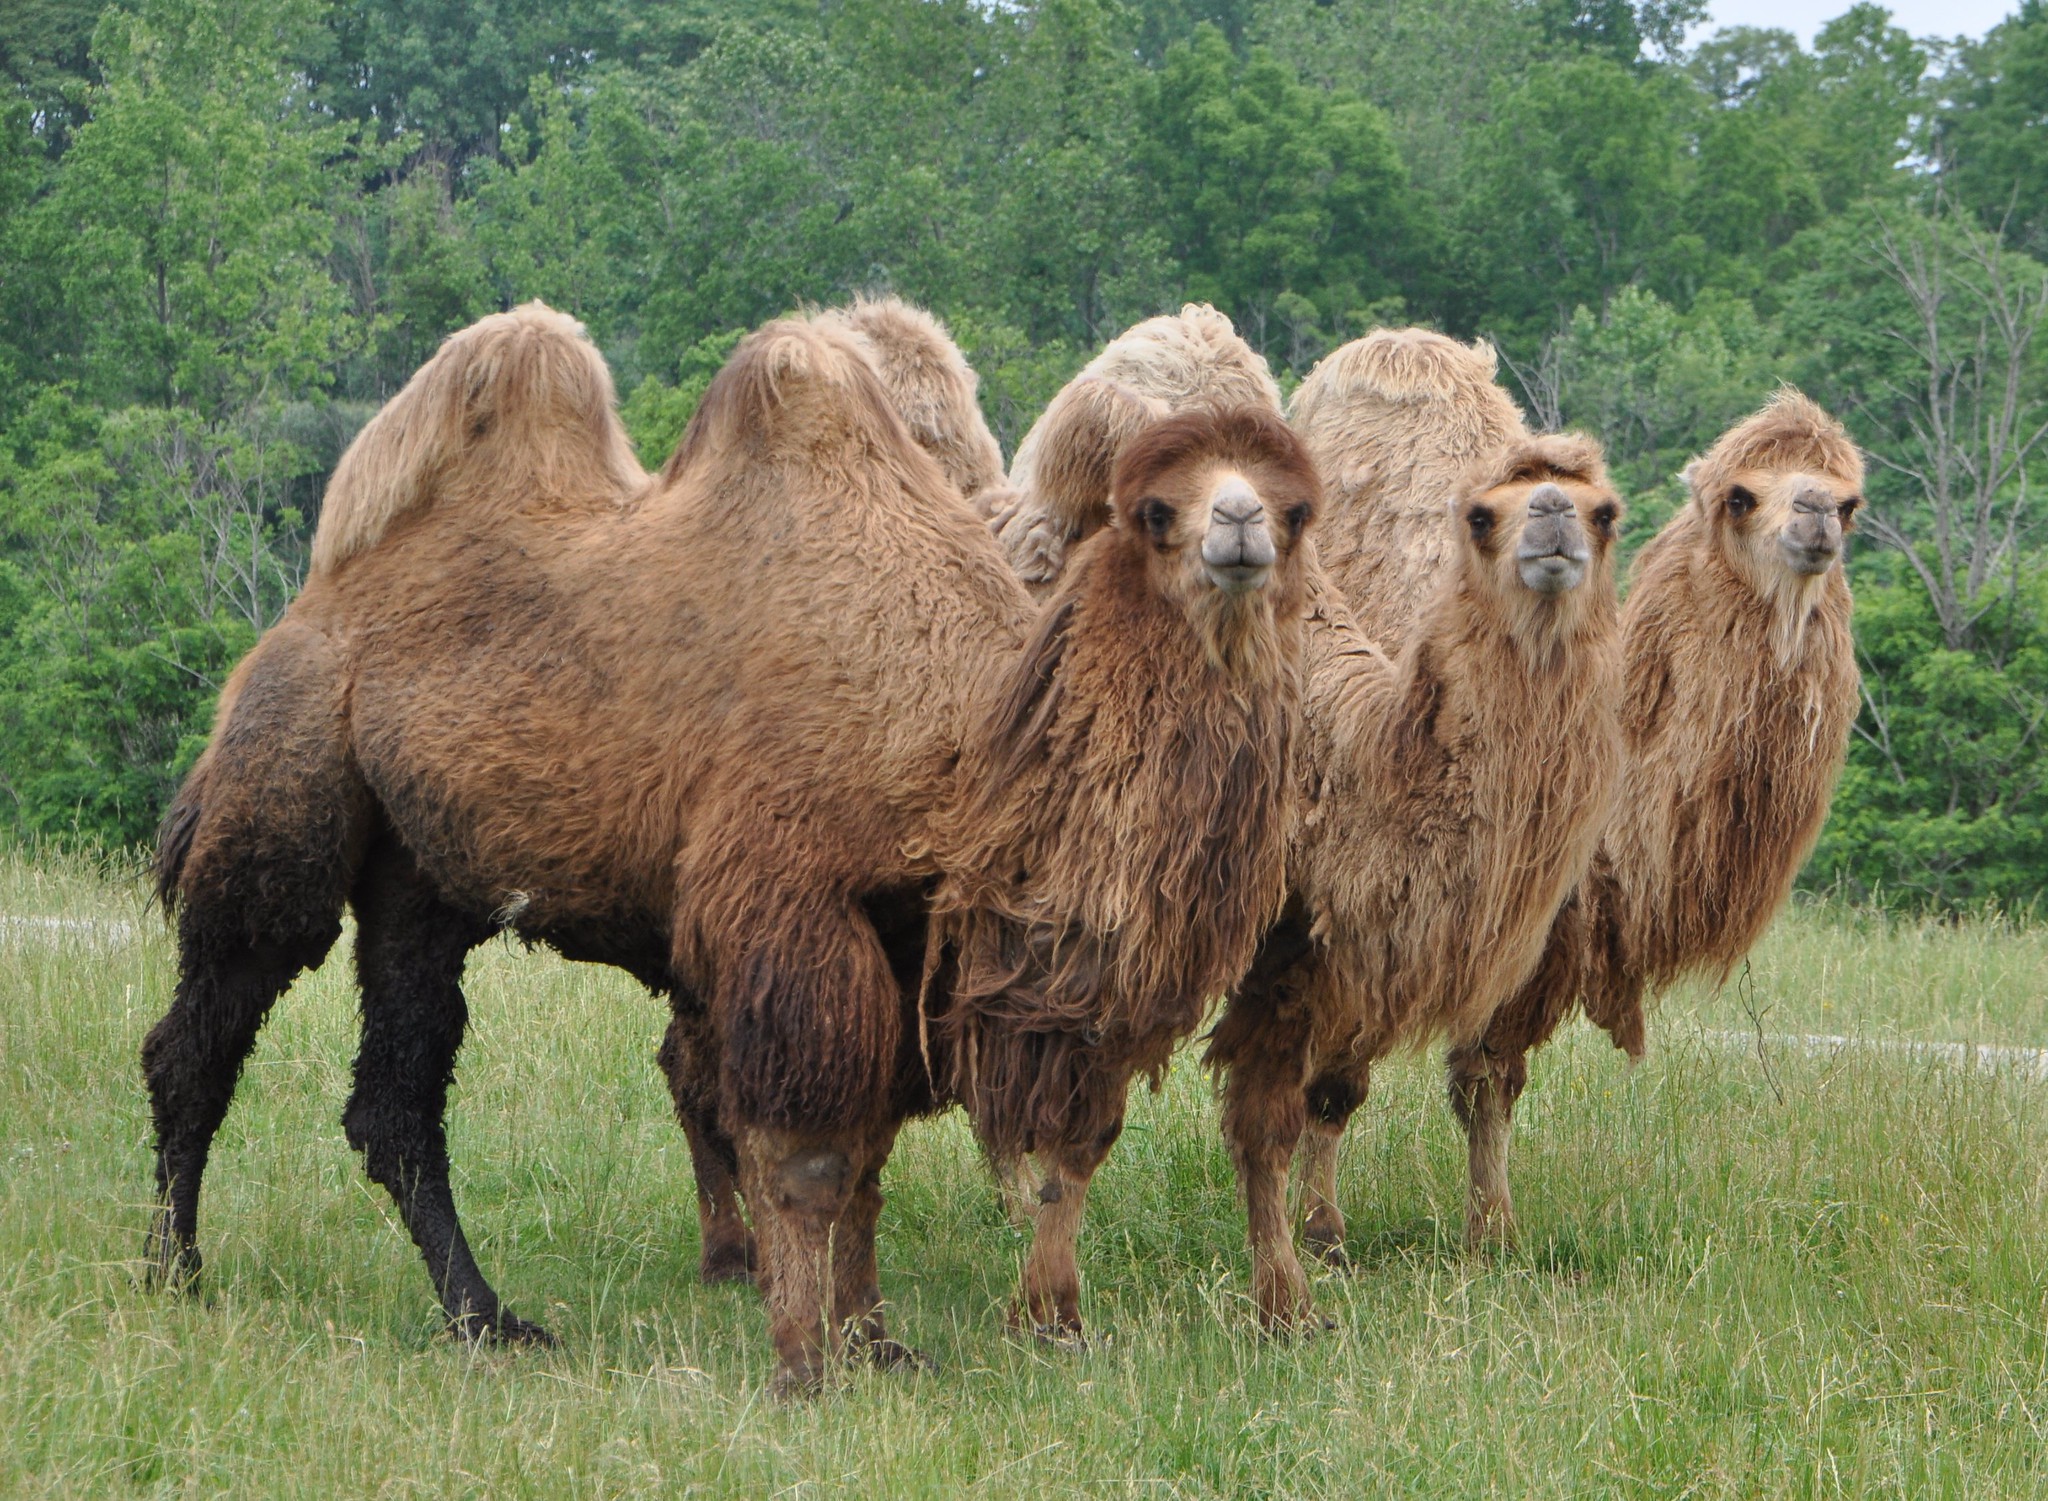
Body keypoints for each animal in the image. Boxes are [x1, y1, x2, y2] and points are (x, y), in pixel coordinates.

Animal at [143, 300, 1319, 1394]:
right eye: (1152, 509)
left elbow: (870, 1156)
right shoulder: (786, 900)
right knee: (206, 1024)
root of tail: (310, 605)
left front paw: (876, 1340)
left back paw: (486, 1317)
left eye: (1300, 504)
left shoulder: (903, 933)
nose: (1239, 529)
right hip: (287, 782)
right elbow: (807, 1152)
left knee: (395, 1097)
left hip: (421, 880)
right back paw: (175, 1271)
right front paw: (803, 1362)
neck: (965, 730)